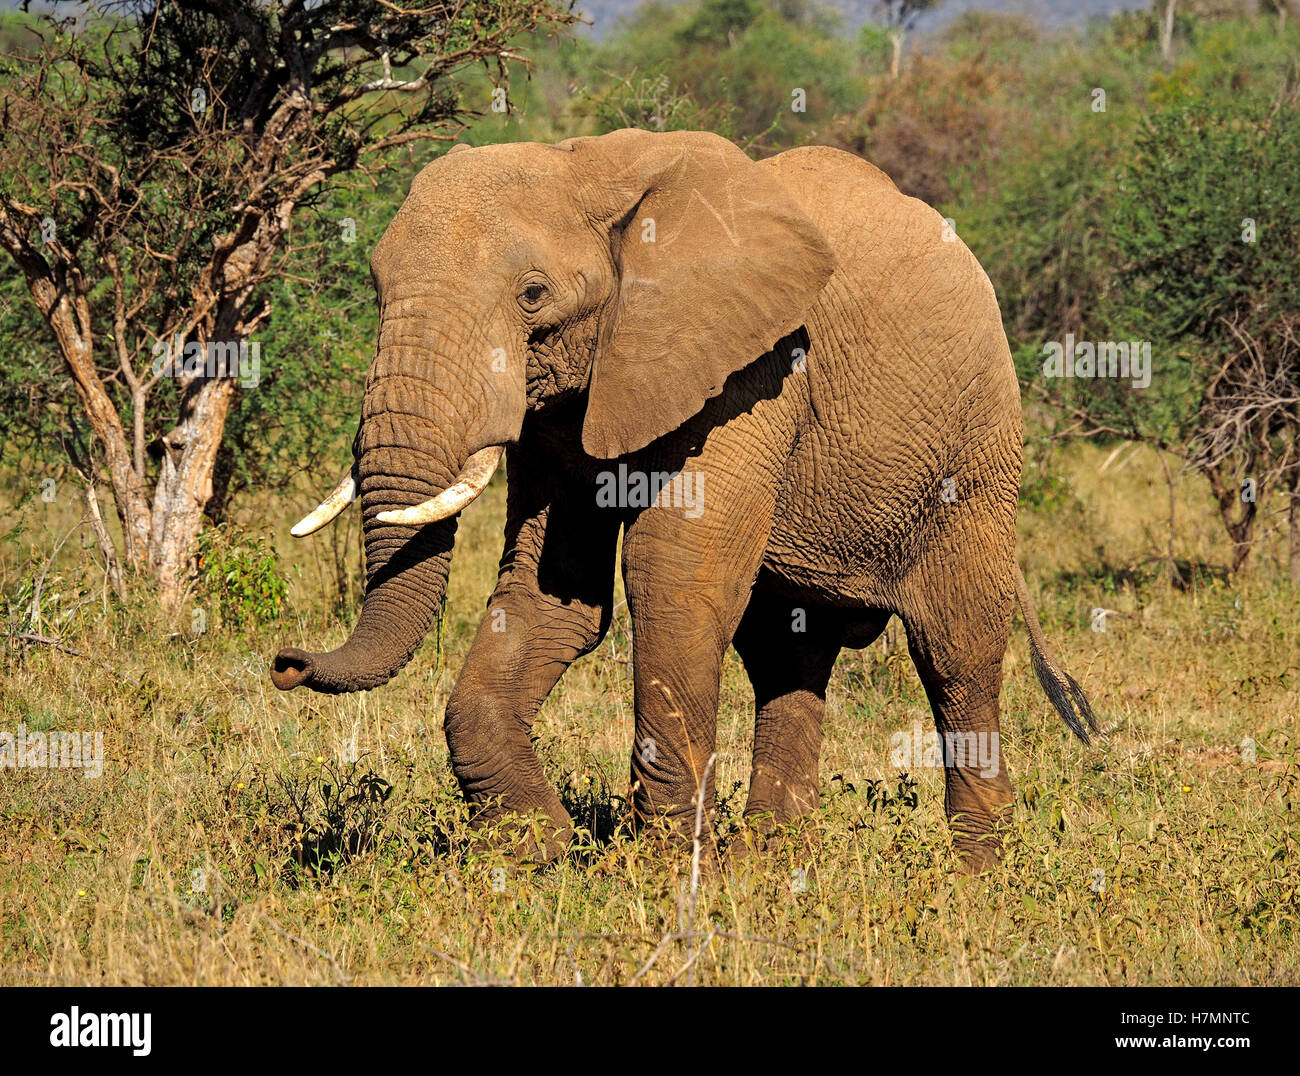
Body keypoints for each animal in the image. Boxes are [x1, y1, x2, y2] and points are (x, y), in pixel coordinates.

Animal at [271, 128, 1096, 871]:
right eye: (376, 290)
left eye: (533, 296)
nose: (286, 662)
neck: (592, 165)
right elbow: (552, 596)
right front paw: (537, 855)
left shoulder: (751, 370)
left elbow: (673, 579)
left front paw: (664, 871)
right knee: (786, 652)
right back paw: (773, 864)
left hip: (977, 447)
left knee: (955, 651)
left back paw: (973, 876)